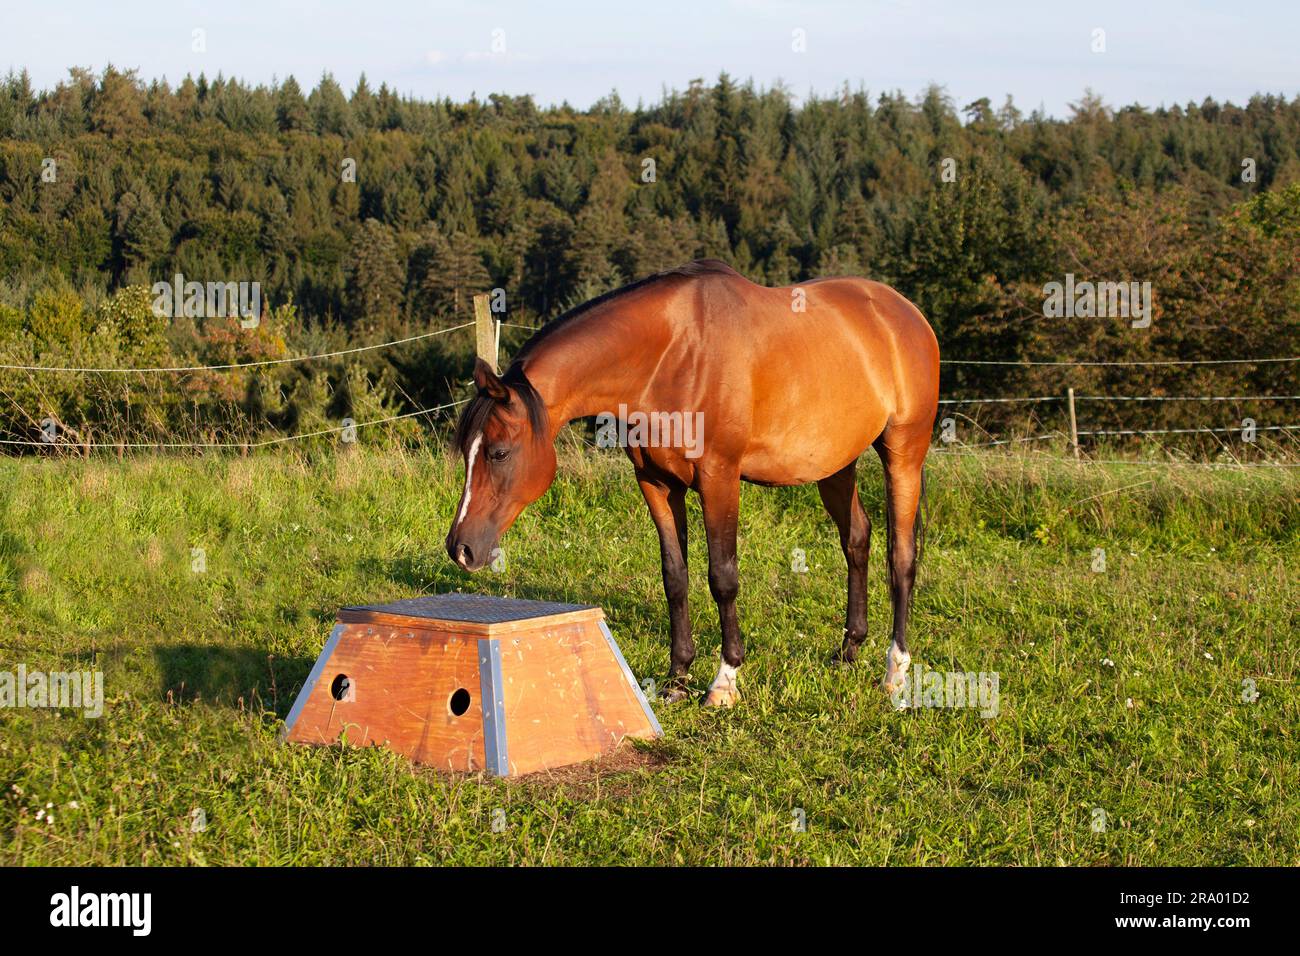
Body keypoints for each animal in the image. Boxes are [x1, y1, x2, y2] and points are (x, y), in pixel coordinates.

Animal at [446, 259, 939, 706]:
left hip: (904, 454)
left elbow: (722, 576)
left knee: (901, 556)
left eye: (498, 452)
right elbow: (675, 576)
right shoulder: (656, 483)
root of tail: (905, 314)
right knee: (856, 538)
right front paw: (677, 677)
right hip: (836, 464)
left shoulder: (719, 478)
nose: (461, 548)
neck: (670, 358)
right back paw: (849, 648)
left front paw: (724, 680)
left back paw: (895, 671)